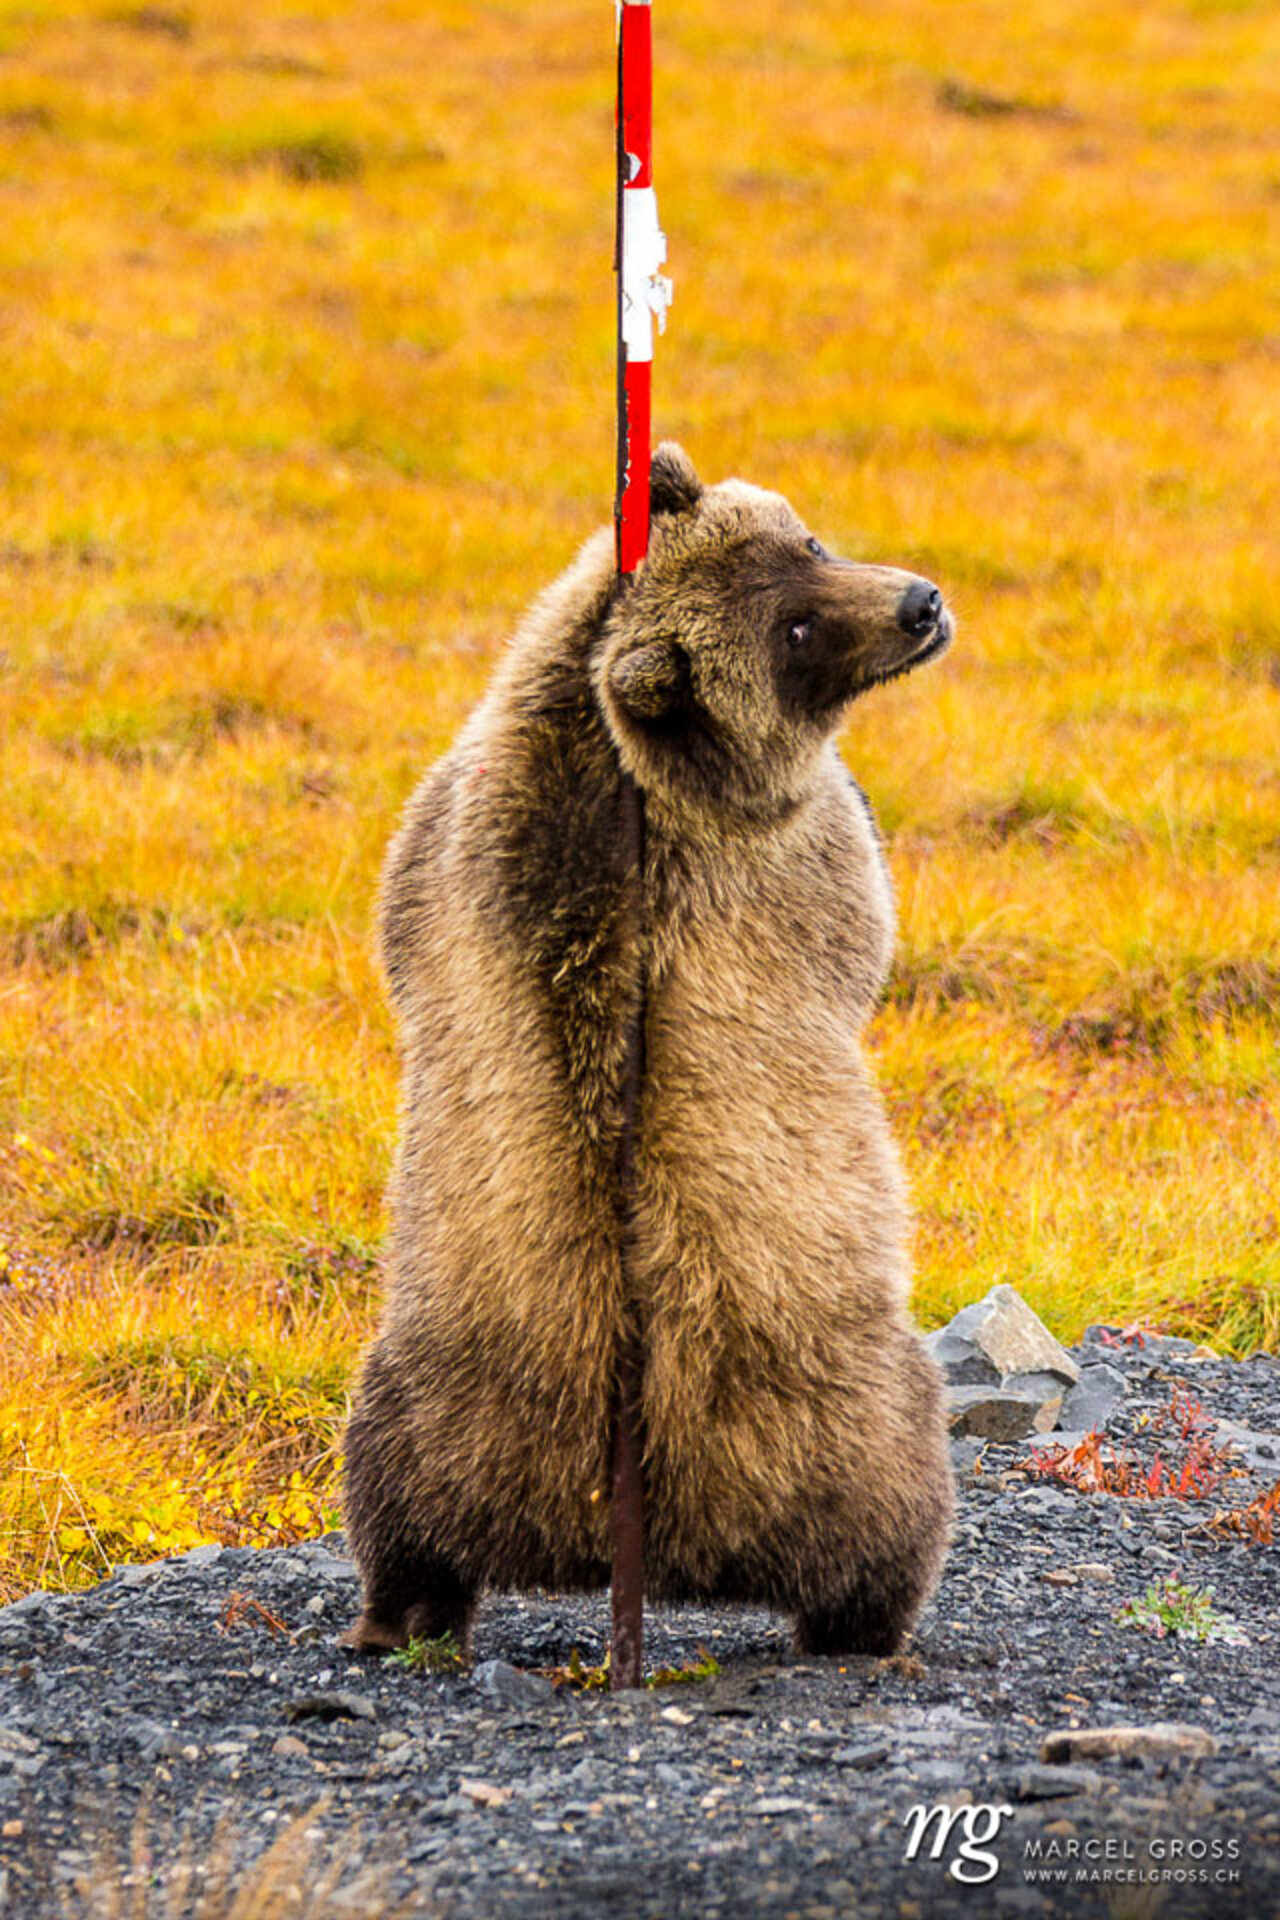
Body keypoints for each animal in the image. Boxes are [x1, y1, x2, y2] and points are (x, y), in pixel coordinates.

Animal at [343, 443, 955, 1660]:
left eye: (808, 543)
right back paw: (875, 1625)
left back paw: (394, 1614)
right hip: (829, 1413)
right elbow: (862, 912)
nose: (918, 604)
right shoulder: (782, 859)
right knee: (889, 1509)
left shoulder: (440, 842)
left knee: (399, 1510)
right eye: (794, 633)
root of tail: (620, 1509)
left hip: (438, 1393)